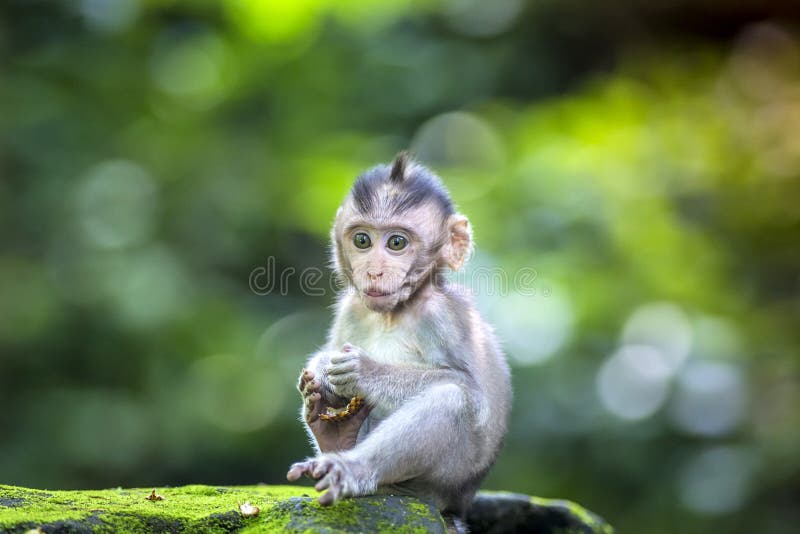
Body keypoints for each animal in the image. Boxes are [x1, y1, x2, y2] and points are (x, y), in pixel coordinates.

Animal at [286, 152, 512, 518]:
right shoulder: (351, 308)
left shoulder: (443, 316)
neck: (393, 313)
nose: (374, 271)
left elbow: (470, 391)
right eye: (362, 240)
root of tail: (457, 501)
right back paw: (336, 436)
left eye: (396, 243)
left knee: (450, 399)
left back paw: (350, 466)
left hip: (450, 475)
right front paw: (321, 371)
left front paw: (365, 371)